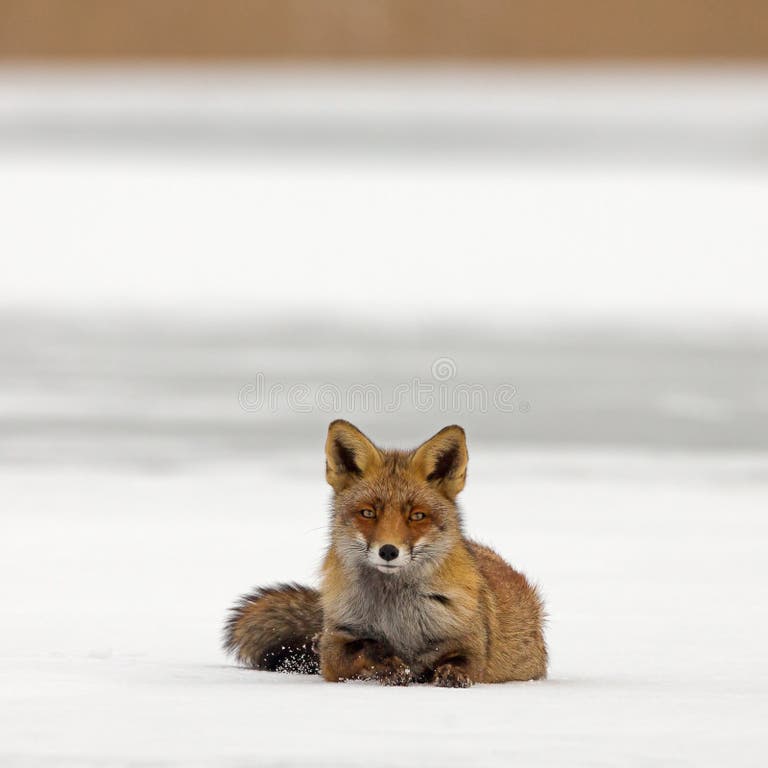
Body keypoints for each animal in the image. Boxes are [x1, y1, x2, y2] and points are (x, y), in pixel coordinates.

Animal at [223, 420, 547, 687]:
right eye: (368, 513)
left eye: (417, 516)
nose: (388, 551)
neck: (397, 614)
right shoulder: (335, 648)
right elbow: (367, 648)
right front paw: (392, 667)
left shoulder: (472, 645)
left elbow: (461, 661)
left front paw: (446, 672)